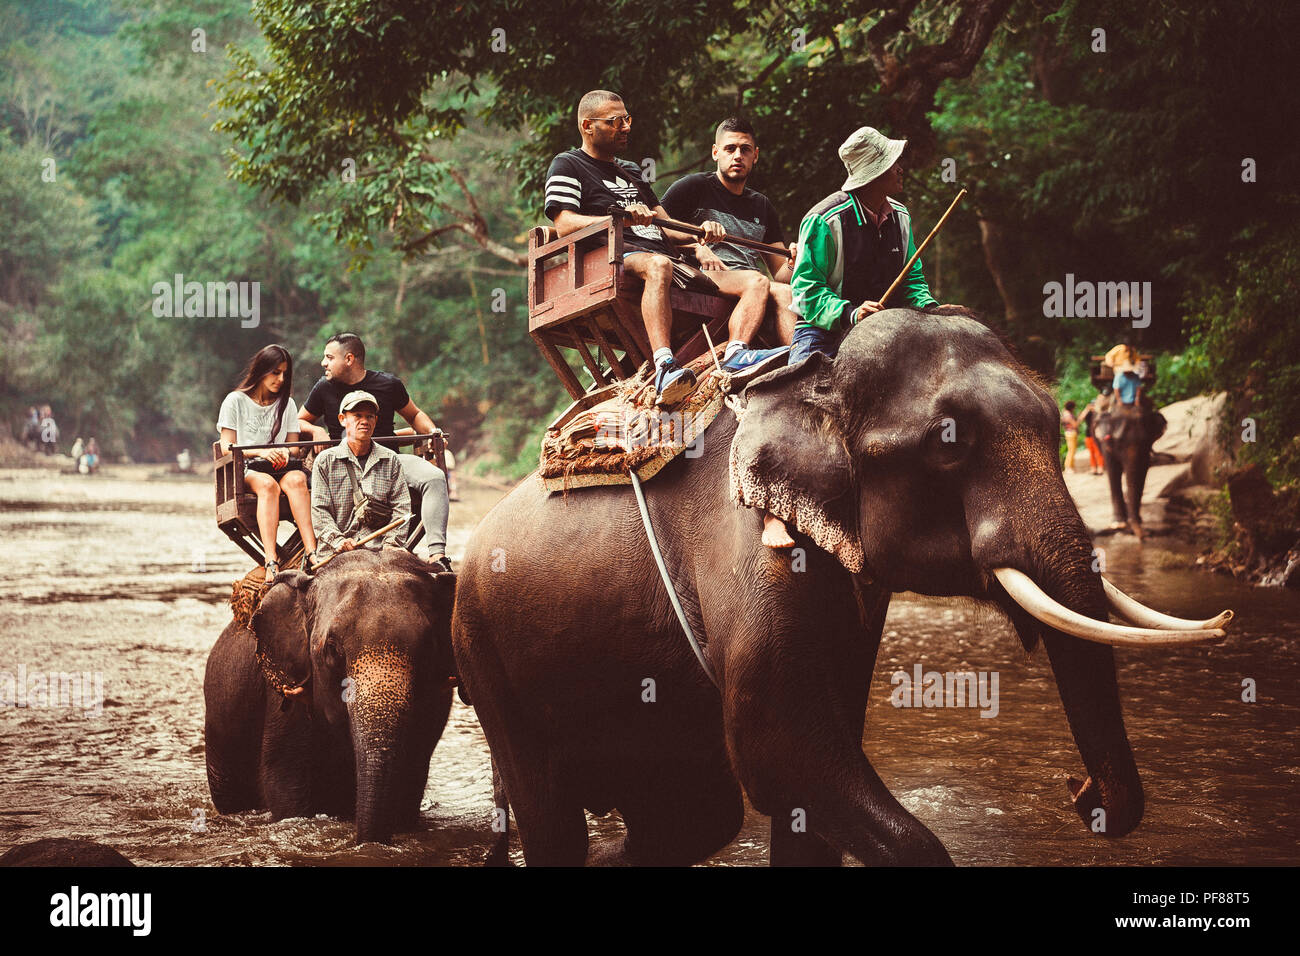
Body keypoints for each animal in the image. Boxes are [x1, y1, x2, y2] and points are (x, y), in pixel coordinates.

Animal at [451, 307, 1228, 866]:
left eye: (1053, 421)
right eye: (948, 444)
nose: (1078, 790)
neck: (812, 382)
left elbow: (812, 764)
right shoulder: (749, 544)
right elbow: (780, 745)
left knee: (693, 818)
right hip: (485, 660)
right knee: (557, 823)